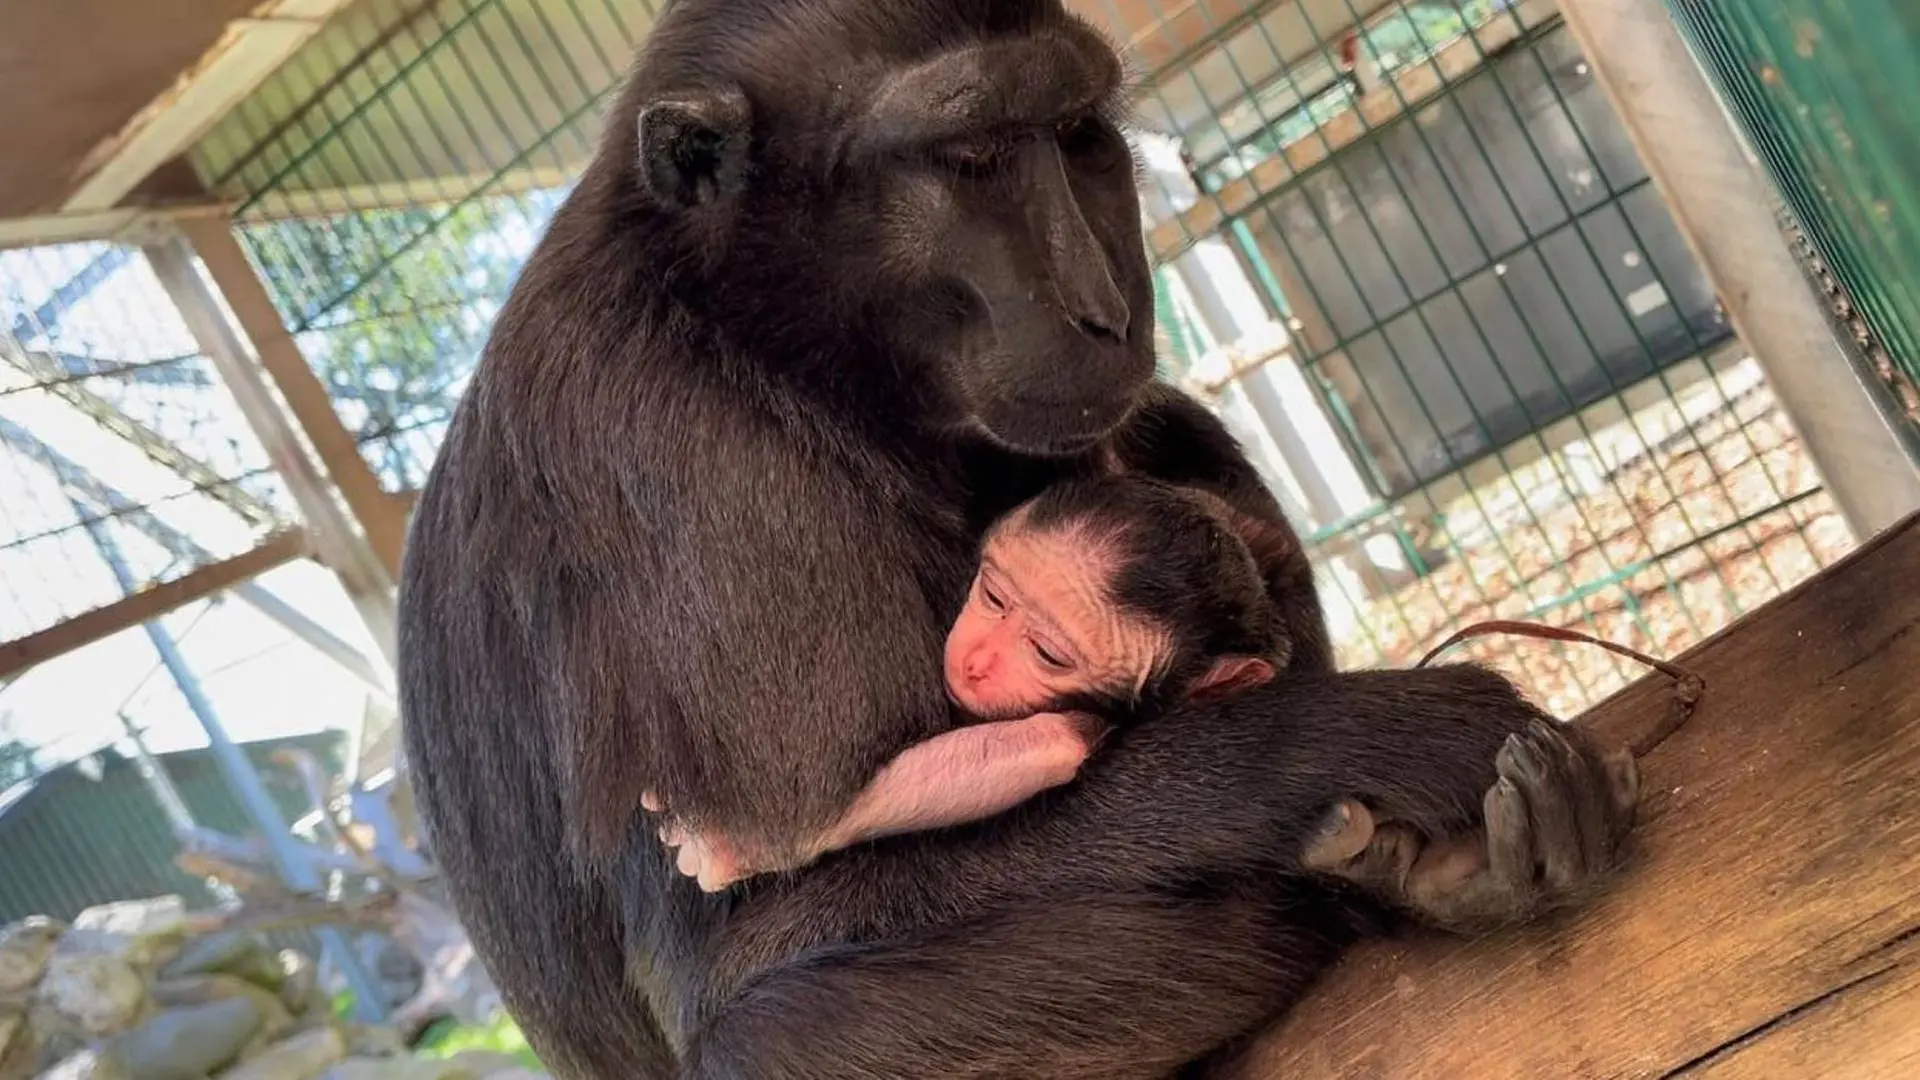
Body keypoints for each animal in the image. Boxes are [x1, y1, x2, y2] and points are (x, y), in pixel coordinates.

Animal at [396, 3, 1641, 1077]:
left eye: (1078, 136)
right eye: (976, 155)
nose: (1107, 305)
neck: (748, 316)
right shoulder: (680, 461)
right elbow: (745, 939)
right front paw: (1357, 741)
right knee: (771, 1039)